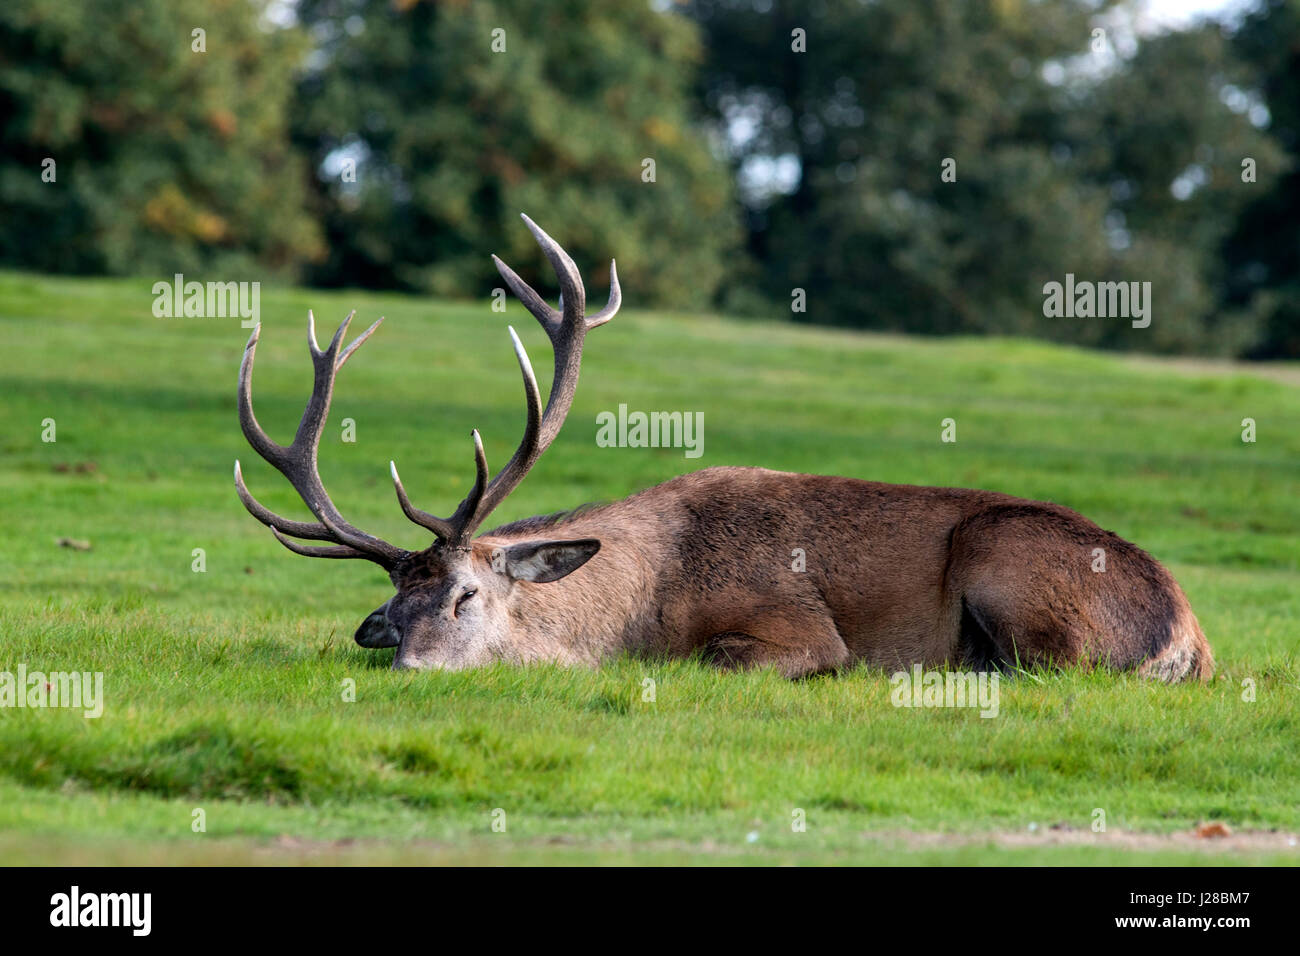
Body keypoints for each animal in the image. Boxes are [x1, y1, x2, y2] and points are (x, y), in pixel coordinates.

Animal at [235, 215, 1212, 681]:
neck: (639, 603)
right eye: (393, 611)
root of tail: (1190, 638)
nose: (409, 669)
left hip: (1012, 564)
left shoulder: (799, 627)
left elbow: (722, 657)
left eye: (466, 593)